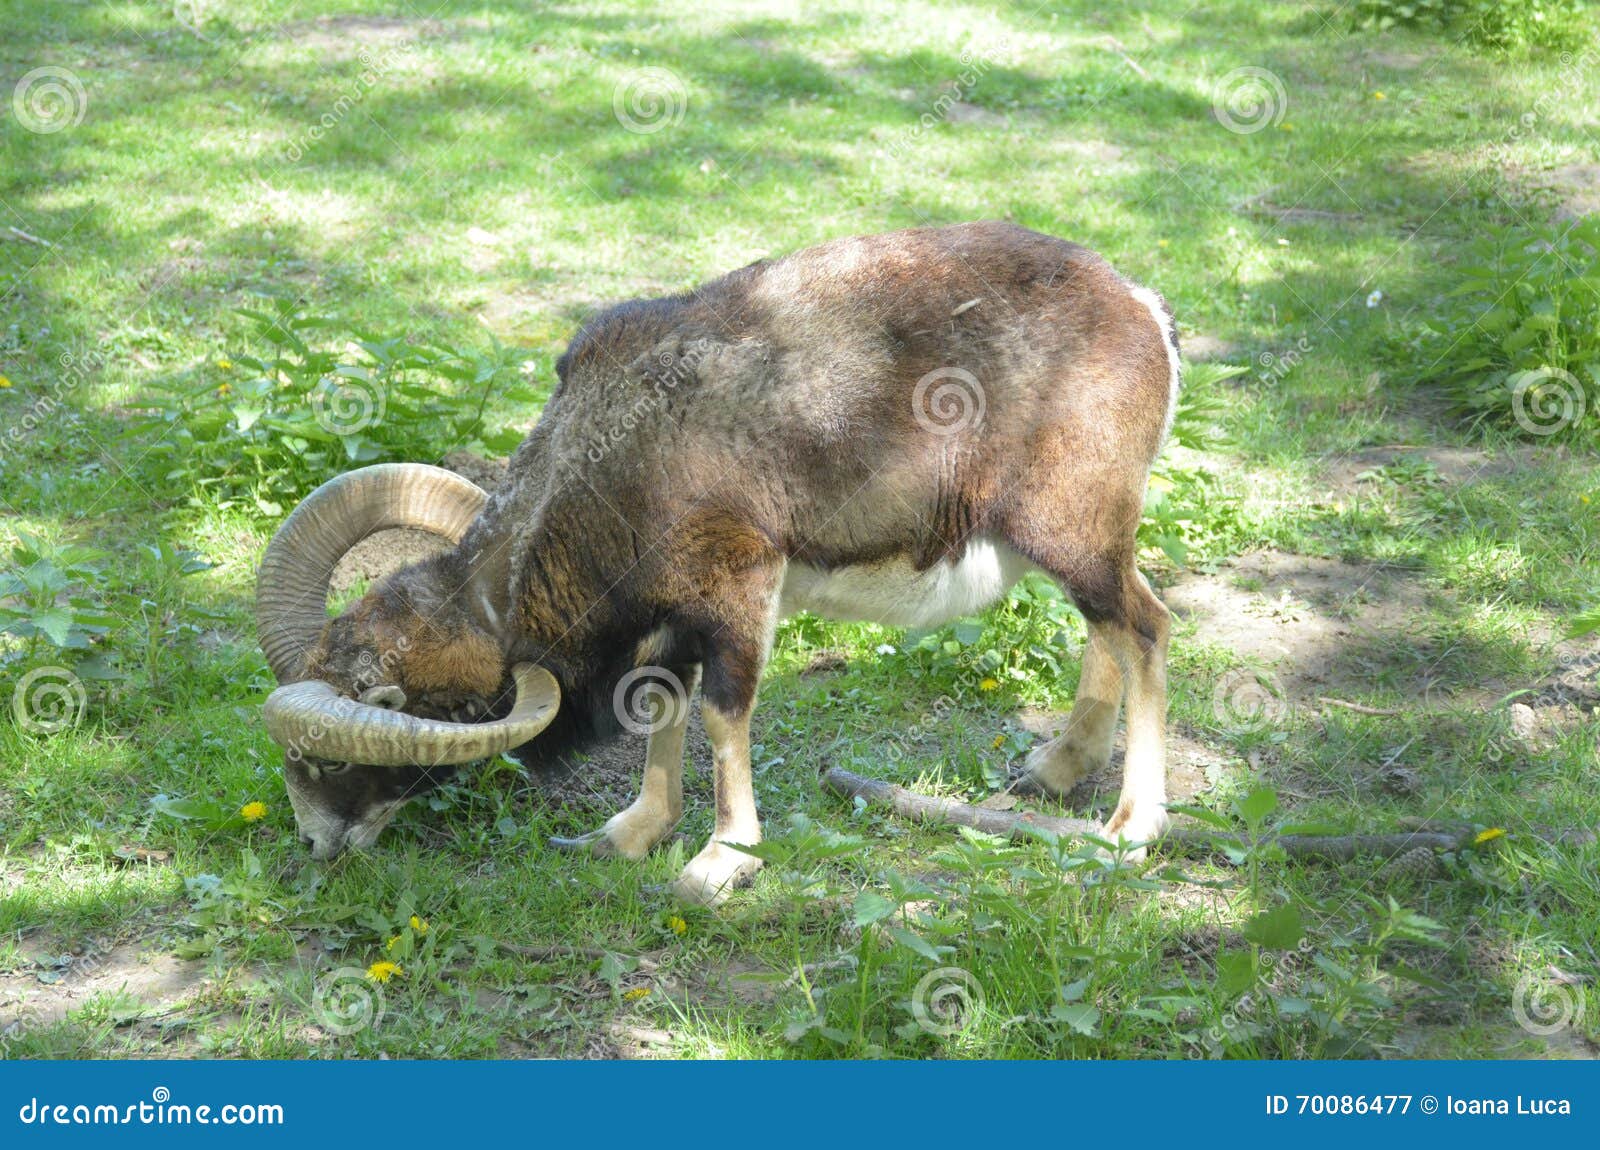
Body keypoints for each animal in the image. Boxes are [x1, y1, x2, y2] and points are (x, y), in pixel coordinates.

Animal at [256, 221, 1179, 903]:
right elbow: (665, 702)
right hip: (1066, 547)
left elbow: (721, 714)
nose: (318, 843)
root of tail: (1144, 311)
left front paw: (720, 860)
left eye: (329, 759)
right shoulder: (671, 620)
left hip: (1072, 533)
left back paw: (1130, 826)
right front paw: (631, 834)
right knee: (1106, 629)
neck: (622, 447)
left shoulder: (737, 588)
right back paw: (1056, 770)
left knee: (1144, 629)